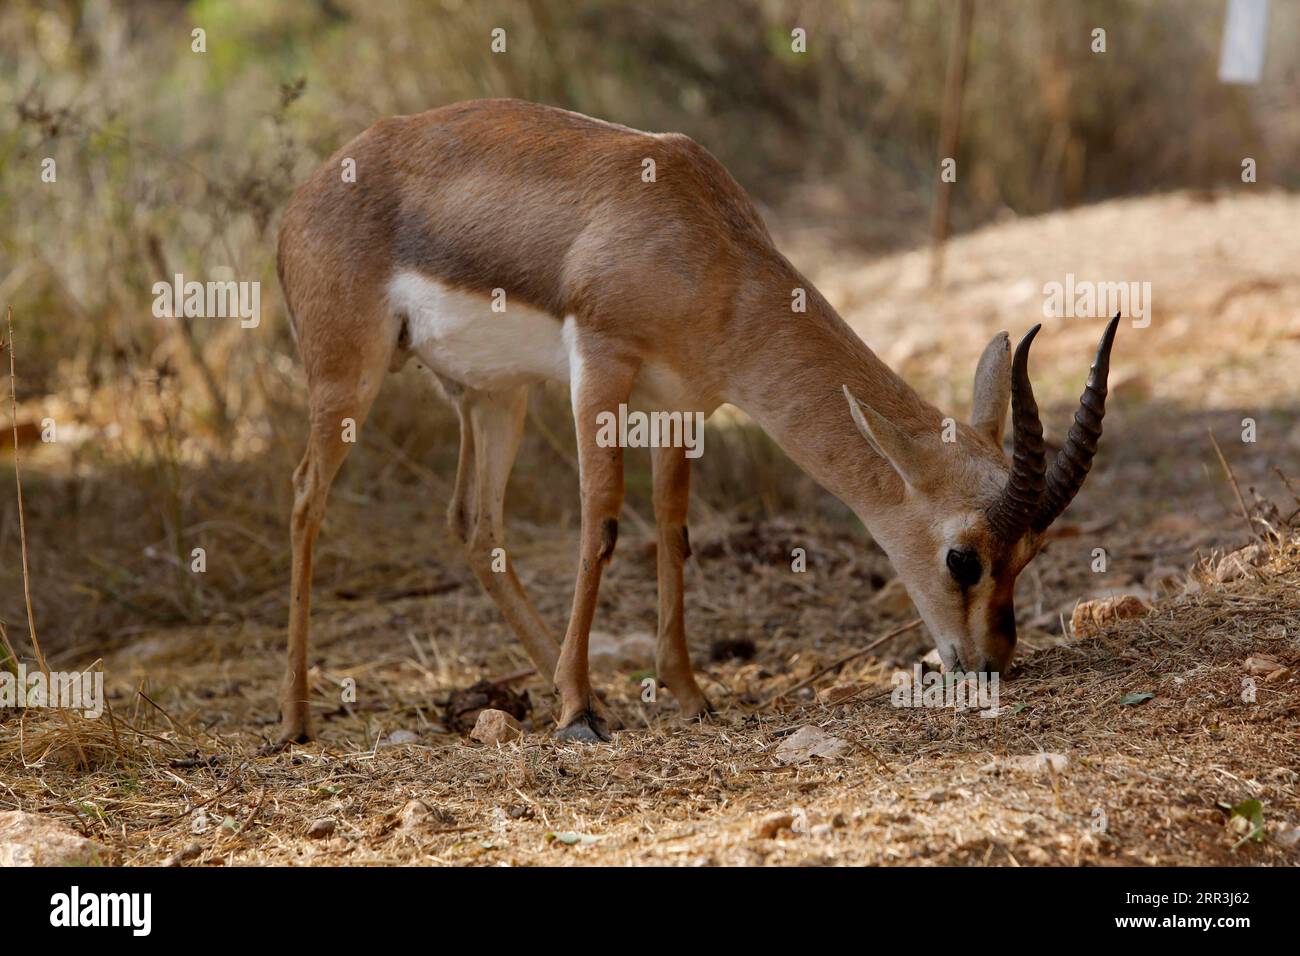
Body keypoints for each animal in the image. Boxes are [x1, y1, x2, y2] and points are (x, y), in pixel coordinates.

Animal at [274, 99, 1119, 746]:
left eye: (1031, 553)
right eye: (963, 559)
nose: (990, 661)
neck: (701, 241)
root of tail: (302, 197)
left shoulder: (677, 407)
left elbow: (673, 538)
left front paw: (687, 696)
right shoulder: (601, 367)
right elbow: (601, 526)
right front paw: (576, 716)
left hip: (492, 396)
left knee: (475, 526)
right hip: (346, 379)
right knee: (306, 498)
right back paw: (297, 722)